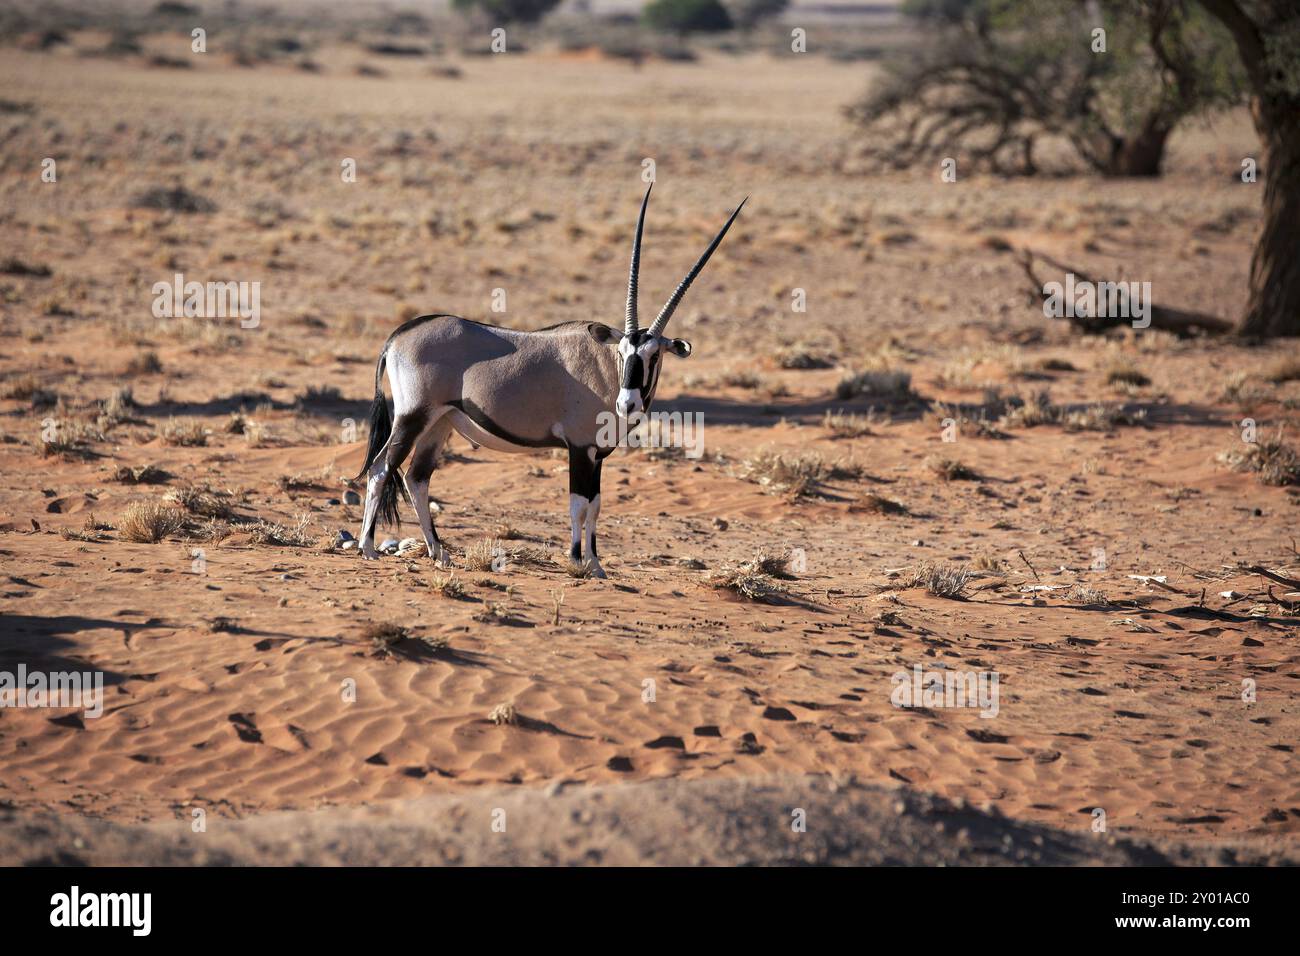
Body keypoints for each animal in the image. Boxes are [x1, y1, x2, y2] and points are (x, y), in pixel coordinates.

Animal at [352, 185, 745, 577]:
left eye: (654, 356)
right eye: (622, 352)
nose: (627, 403)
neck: (605, 371)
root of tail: (398, 336)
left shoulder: (598, 453)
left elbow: (596, 504)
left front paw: (596, 565)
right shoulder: (580, 448)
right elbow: (578, 504)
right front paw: (577, 561)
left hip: (440, 423)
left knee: (416, 478)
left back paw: (439, 552)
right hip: (413, 416)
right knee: (381, 469)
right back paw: (367, 547)